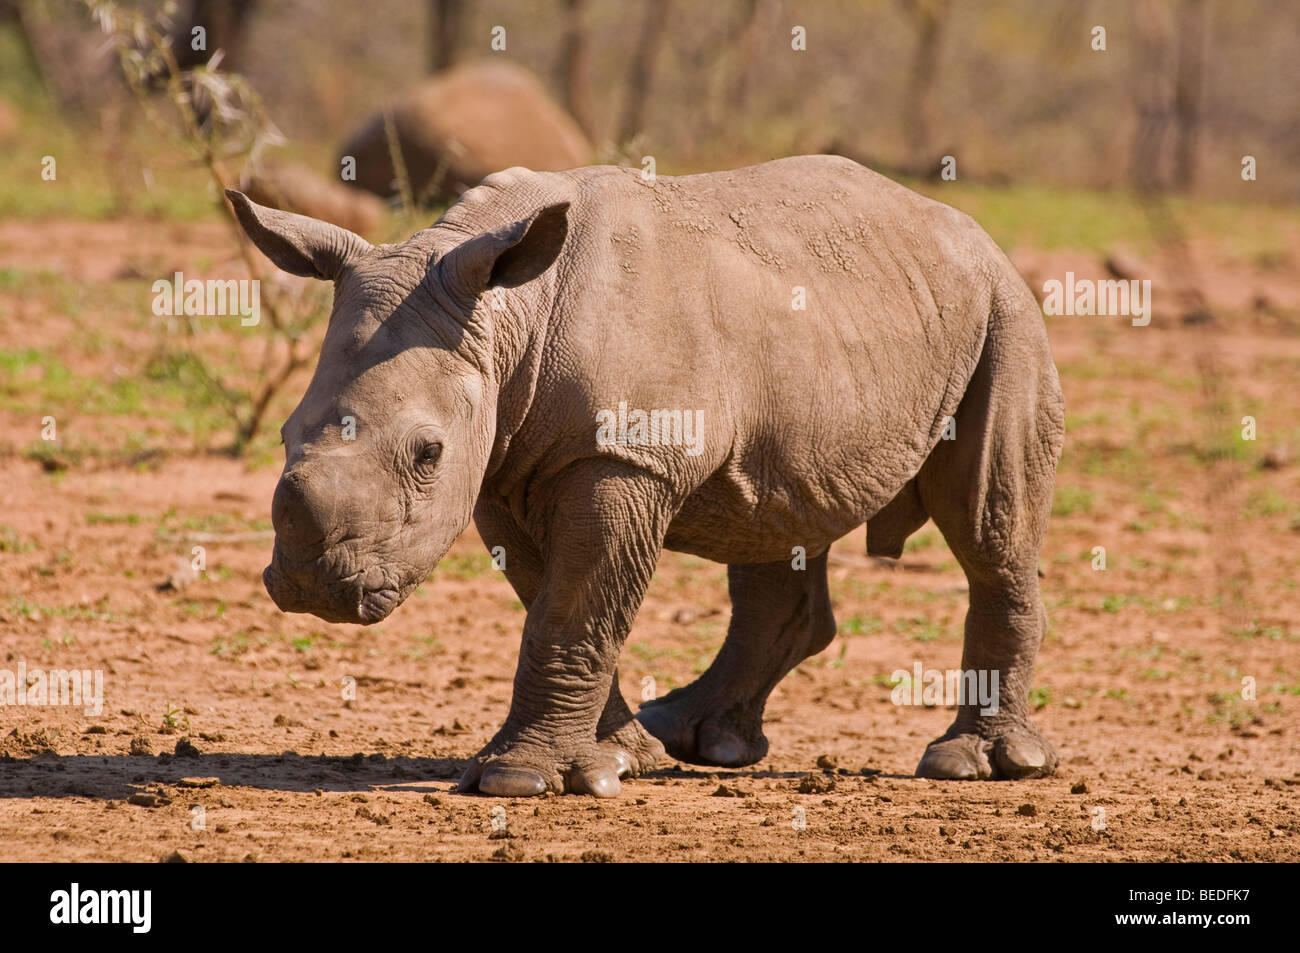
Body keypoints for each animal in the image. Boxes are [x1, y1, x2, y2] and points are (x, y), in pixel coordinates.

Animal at [225, 154, 1065, 798]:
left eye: (427, 454)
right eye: (284, 434)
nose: (313, 587)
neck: (504, 315)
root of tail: (968, 228)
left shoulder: (621, 455)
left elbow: (574, 605)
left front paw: (519, 781)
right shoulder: (502, 461)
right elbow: (556, 598)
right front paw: (625, 754)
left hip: (1004, 314)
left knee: (987, 519)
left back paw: (975, 765)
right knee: (777, 516)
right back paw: (703, 740)